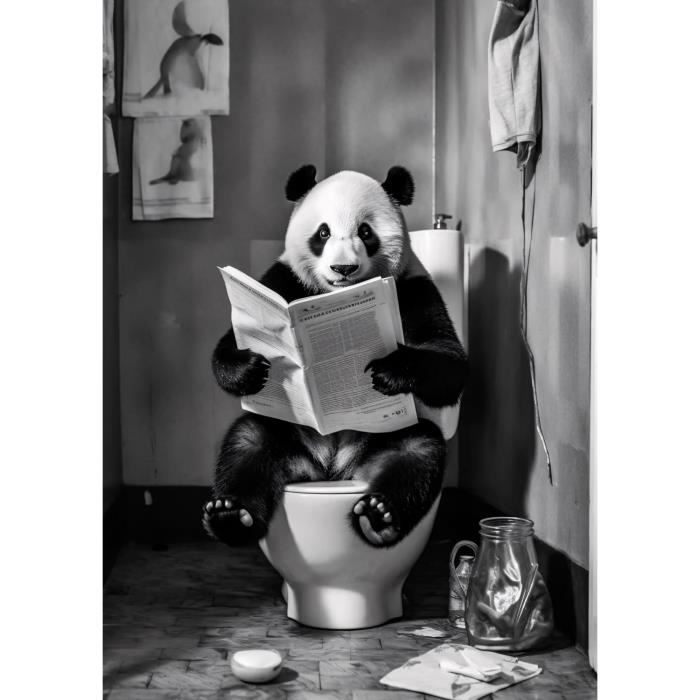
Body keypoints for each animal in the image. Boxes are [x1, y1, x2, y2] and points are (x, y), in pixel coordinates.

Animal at [203, 165, 468, 548]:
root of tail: (329, 469)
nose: (343, 268)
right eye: (323, 232)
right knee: (247, 443)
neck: (334, 296)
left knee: (418, 451)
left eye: (365, 232)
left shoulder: (413, 287)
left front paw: (389, 371)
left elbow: (448, 361)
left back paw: (380, 516)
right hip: (285, 436)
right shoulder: (283, 280)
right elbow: (228, 344)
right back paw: (230, 516)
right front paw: (250, 369)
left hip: (384, 438)